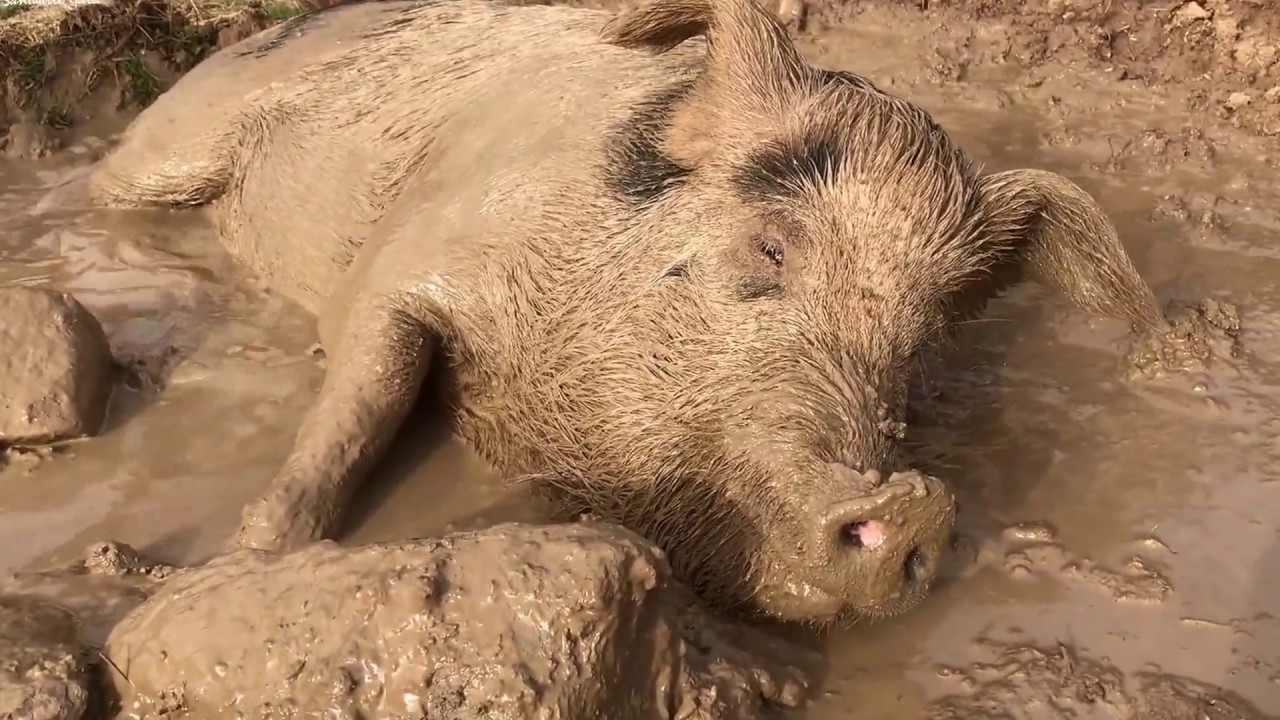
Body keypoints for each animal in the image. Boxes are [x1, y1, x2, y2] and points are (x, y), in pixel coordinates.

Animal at [87, 0, 1164, 623]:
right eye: (771, 248)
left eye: (922, 333)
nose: (908, 508)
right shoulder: (411, 257)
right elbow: (359, 407)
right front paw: (198, 575)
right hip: (171, 141)